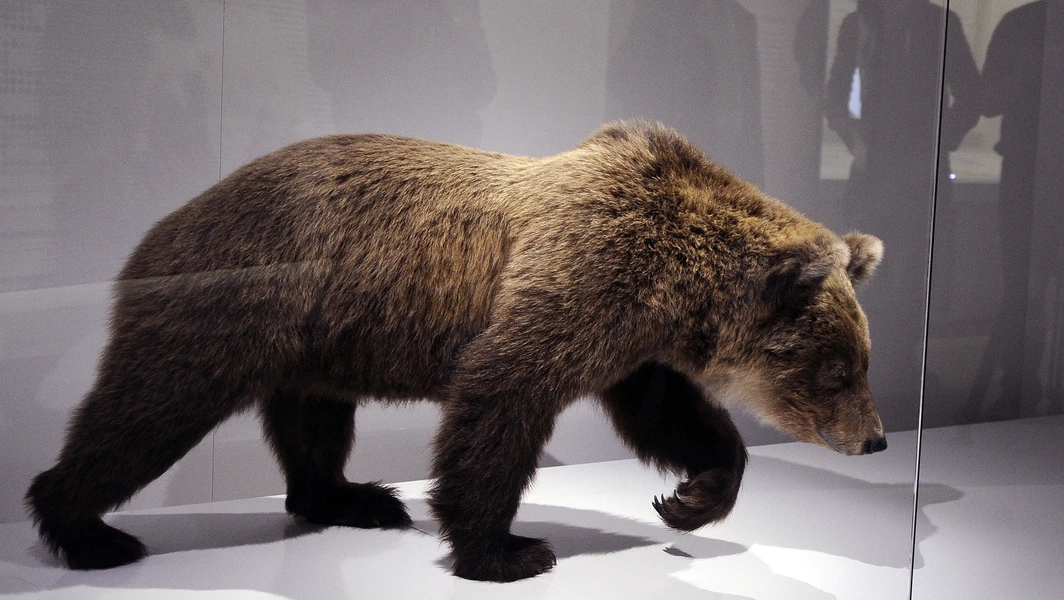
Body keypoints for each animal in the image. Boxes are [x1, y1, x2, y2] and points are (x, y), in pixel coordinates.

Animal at [26, 122, 885, 582]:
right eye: (838, 368)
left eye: (864, 361)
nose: (875, 438)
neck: (675, 280)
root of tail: (160, 227)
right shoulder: (580, 280)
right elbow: (502, 396)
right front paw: (507, 547)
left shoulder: (632, 342)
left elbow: (669, 415)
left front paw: (694, 495)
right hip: (230, 306)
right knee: (148, 410)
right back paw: (88, 530)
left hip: (315, 339)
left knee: (313, 424)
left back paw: (353, 497)